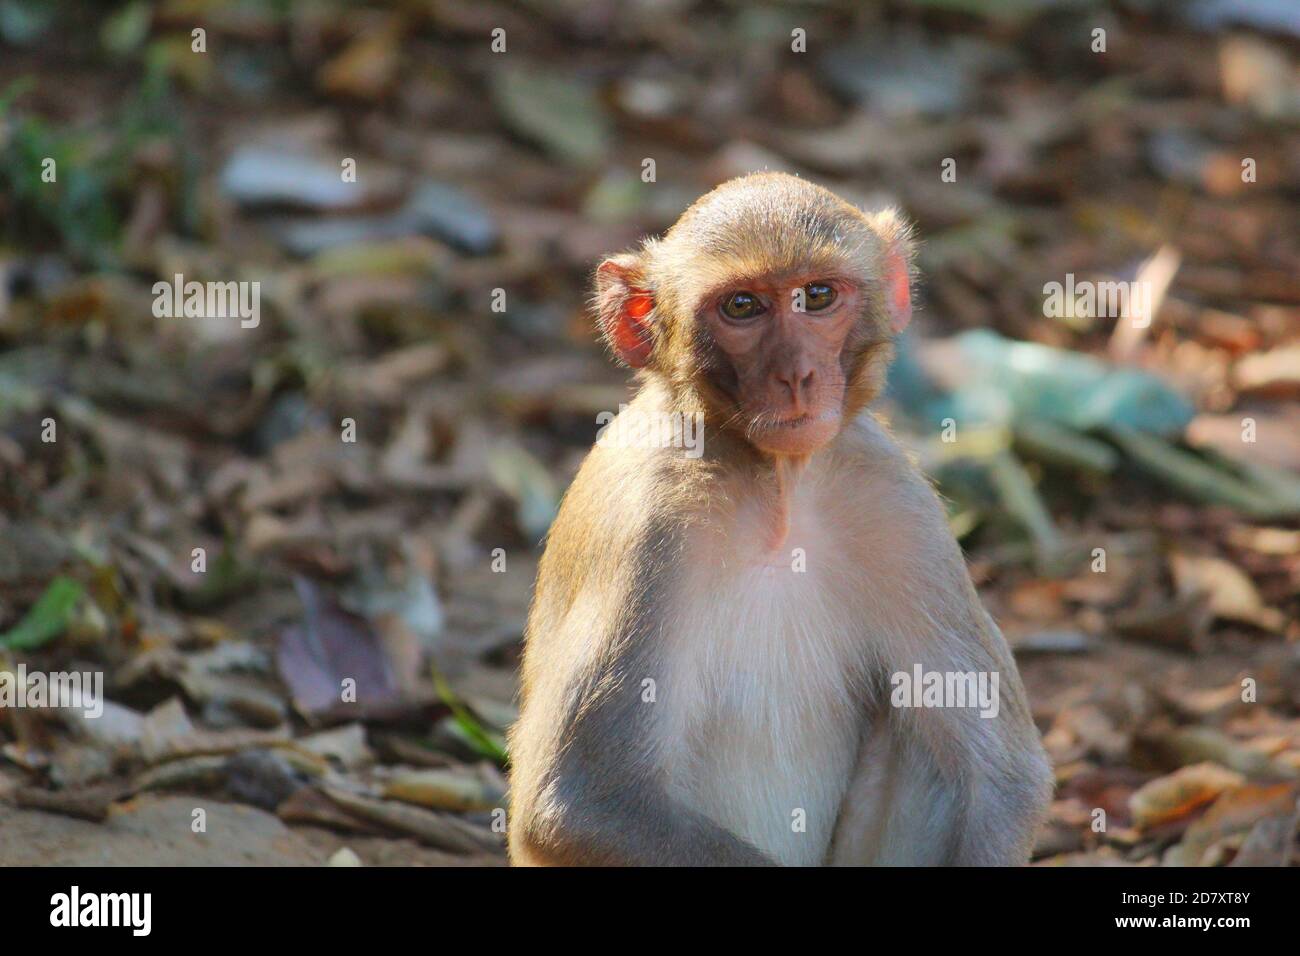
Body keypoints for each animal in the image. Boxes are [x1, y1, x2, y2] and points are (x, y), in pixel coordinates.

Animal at [506, 172, 1052, 866]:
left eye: (817, 296)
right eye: (742, 307)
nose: (798, 376)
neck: (776, 492)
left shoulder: (898, 506)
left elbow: (1000, 779)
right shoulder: (648, 526)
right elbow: (581, 800)